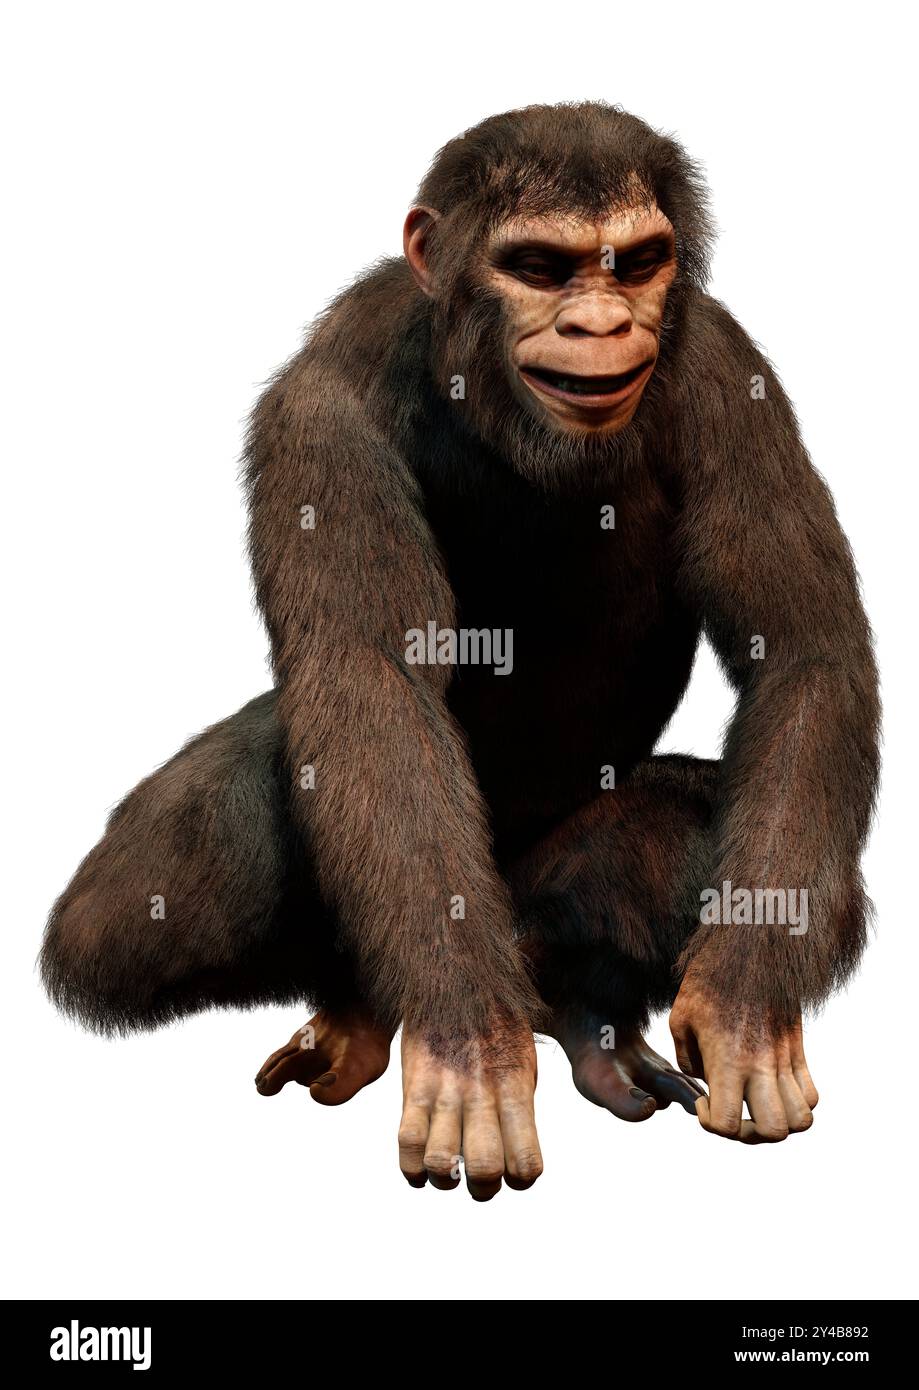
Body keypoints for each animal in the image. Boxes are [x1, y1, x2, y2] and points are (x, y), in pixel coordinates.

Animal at [42, 103, 879, 1200]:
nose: (600, 322)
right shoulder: (322, 415)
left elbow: (802, 650)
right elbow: (374, 685)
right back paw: (368, 1012)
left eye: (637, 262)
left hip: (548, 892)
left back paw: (587, 1019)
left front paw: (746, 1001)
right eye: (538, 267)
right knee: (134, 909)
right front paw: (466, 1049)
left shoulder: (725, 378)